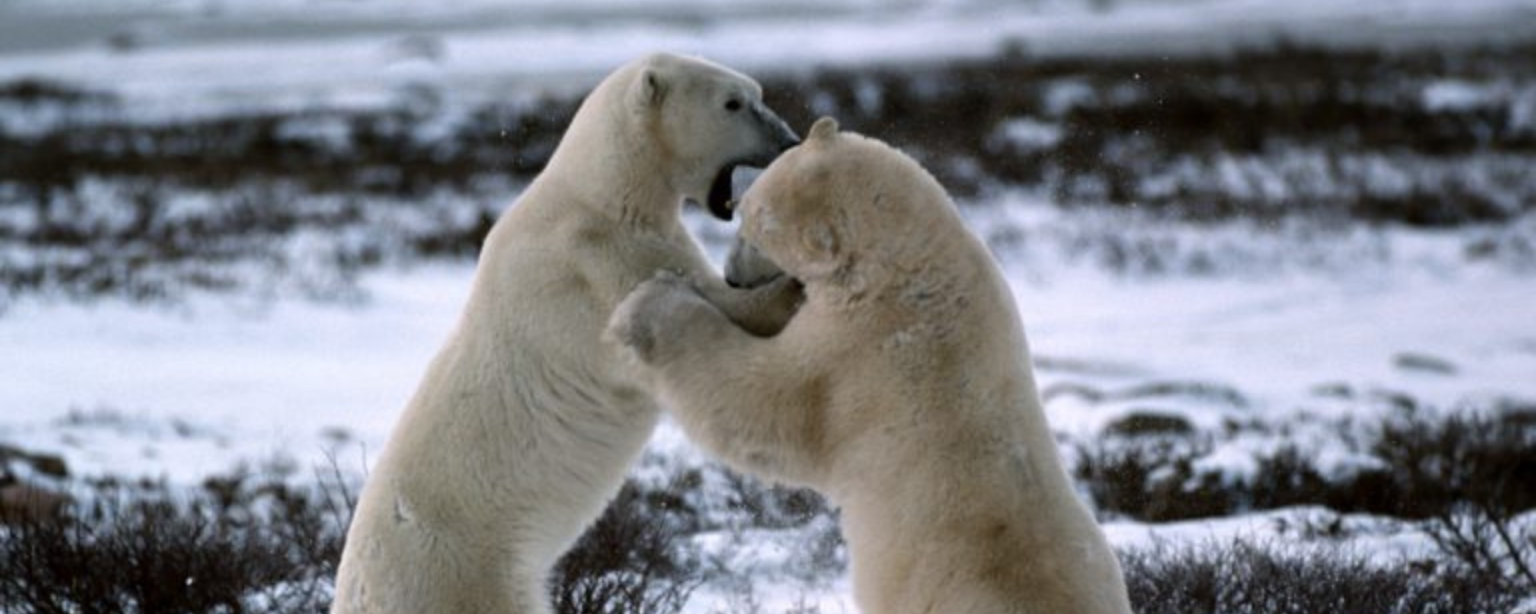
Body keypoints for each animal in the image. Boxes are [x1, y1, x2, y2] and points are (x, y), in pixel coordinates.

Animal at [330, 53, 802, 614]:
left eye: (759, 93)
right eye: (734, 102)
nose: (790, 141)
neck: (602, 192)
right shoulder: (596, 262)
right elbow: (696, 314)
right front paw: (790, 285)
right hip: (465, 576)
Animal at [607, 118, 1134, 614]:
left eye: (754, 229)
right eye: (742, 209)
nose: (733, 276)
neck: (914, 265)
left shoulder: (856, 351)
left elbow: (763, 405)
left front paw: (647, 307)